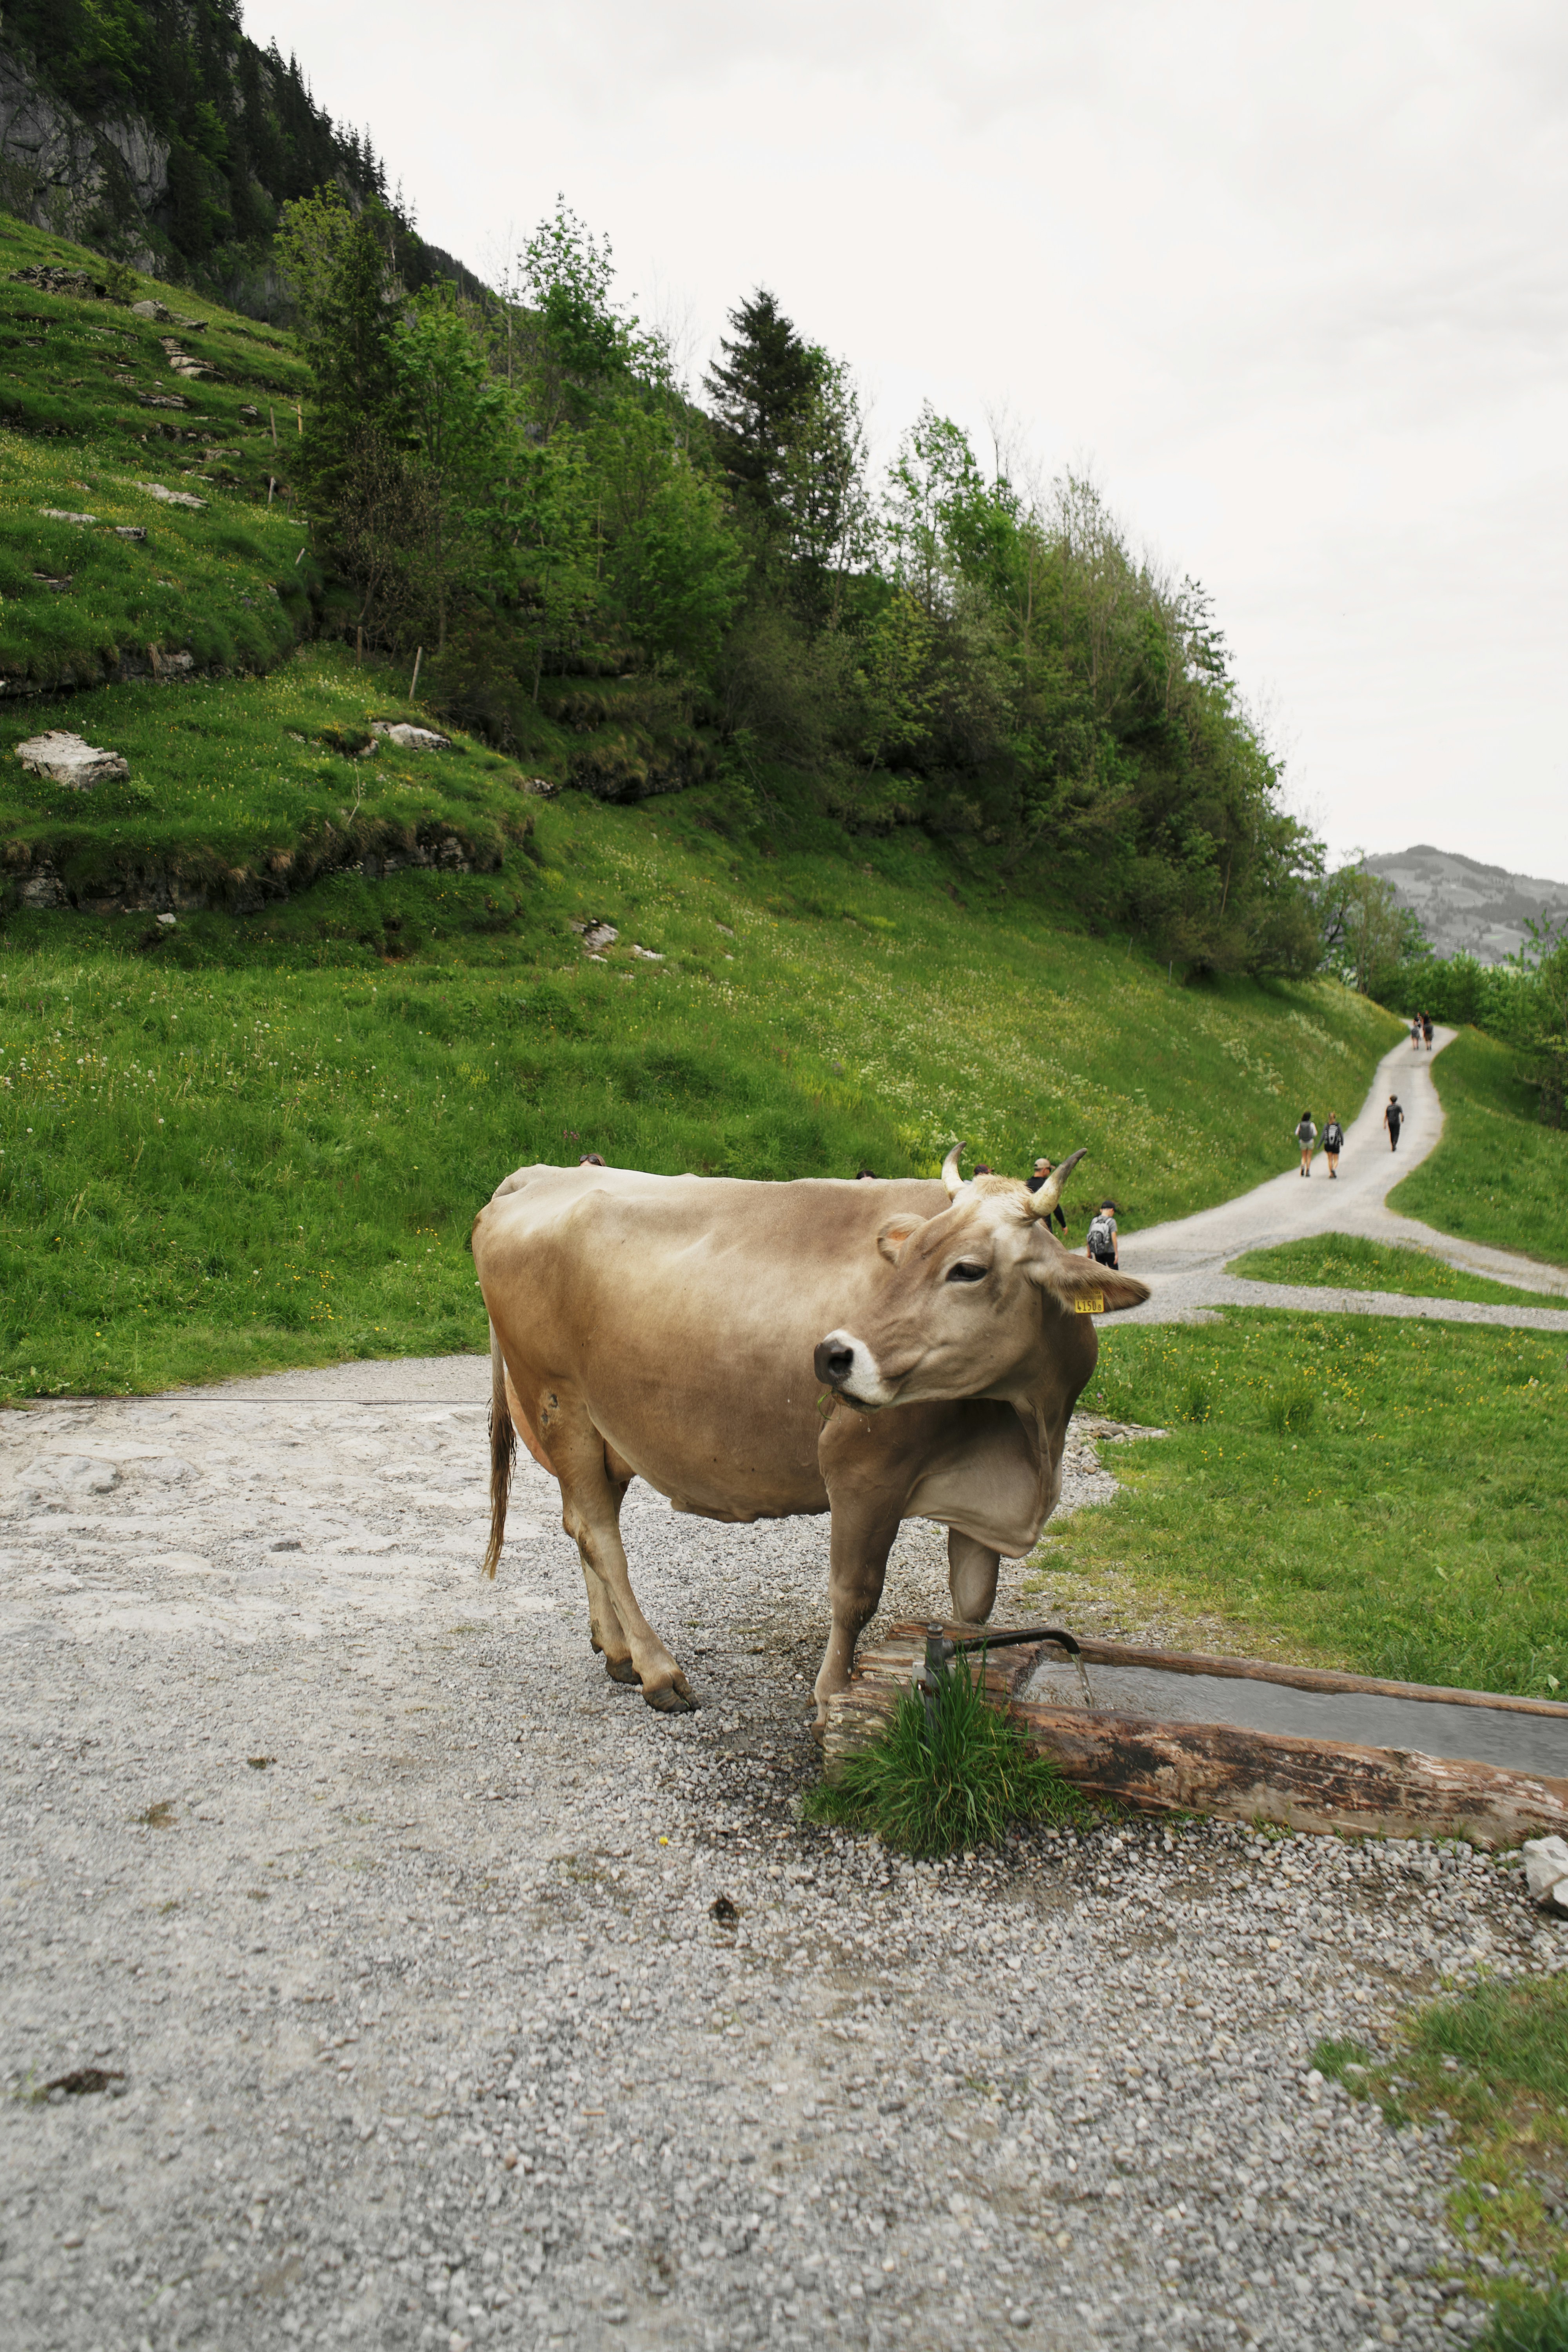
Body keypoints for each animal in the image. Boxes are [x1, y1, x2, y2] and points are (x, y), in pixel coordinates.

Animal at [470, 1146, 1149, 1726]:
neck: (1029, 1438)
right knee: (599, 1535)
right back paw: (659, 1670)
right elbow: (855, 1595)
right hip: (561, 1405)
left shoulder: (981, 1497)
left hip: (600, 1429)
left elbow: (974, 1611)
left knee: (582, 1524)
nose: (832, 1356)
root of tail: (539, 1174)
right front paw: (831, 1698)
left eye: (969, 1270)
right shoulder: (862, 1469)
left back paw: (617, 1653)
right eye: (906, 1255)